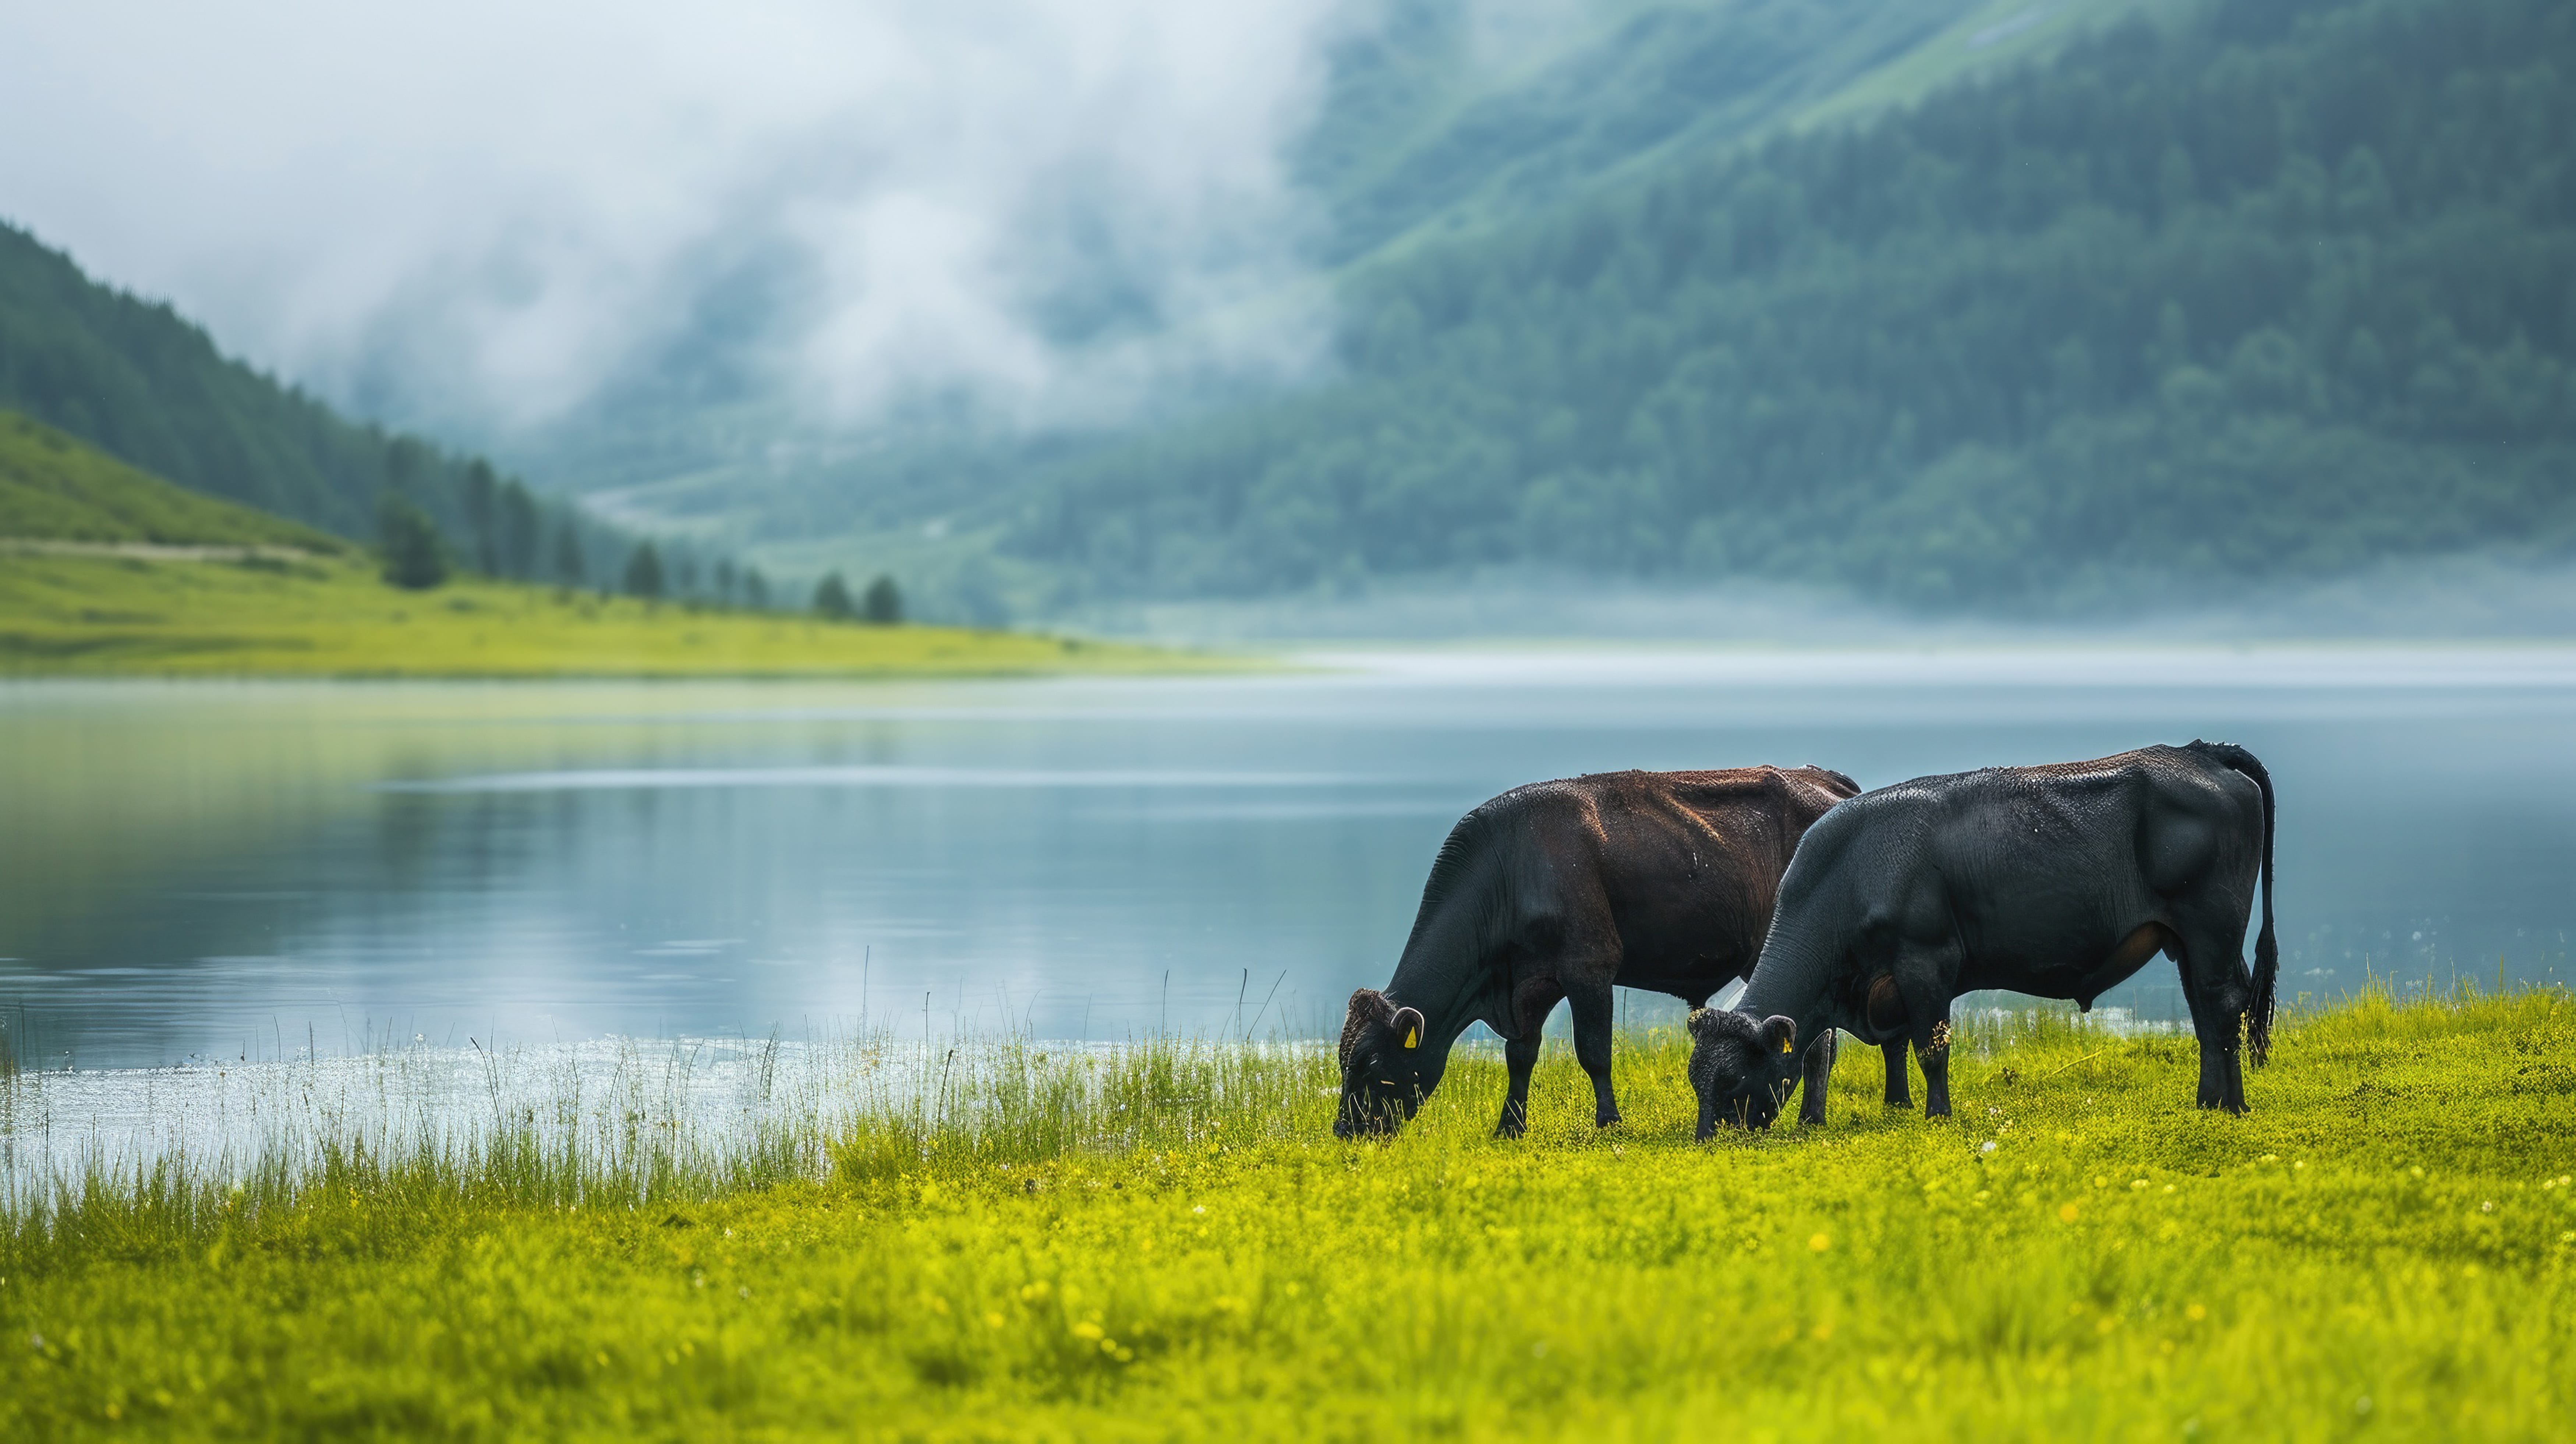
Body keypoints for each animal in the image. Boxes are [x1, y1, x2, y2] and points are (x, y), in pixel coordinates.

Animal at [1333, 765, 1863, 1139]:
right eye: (1342, 1062)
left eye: (1370, 1064)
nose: (1344, 1129)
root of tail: (1823, 778)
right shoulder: (1530, 983)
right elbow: (1520, 1055)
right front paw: (1510, 1126)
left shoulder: (1589, 967)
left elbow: (1594, 1052)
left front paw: (1609, 1120)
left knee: (1819, 1041)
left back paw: (1811, 1117)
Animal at [1687, 741, 2277, 1138]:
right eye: (1696, 1079)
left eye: (1735, 1079)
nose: (1708, 1142)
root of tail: (2197, 752)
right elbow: (1902, 1046)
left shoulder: (1926, 961)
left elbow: (1931, 1048)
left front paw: (1938, 1116)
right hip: (2189, 940)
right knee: (2207, 1012)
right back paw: (2210, 1101)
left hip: (2212, 925)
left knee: (2225, 1005)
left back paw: (2232, 1106)